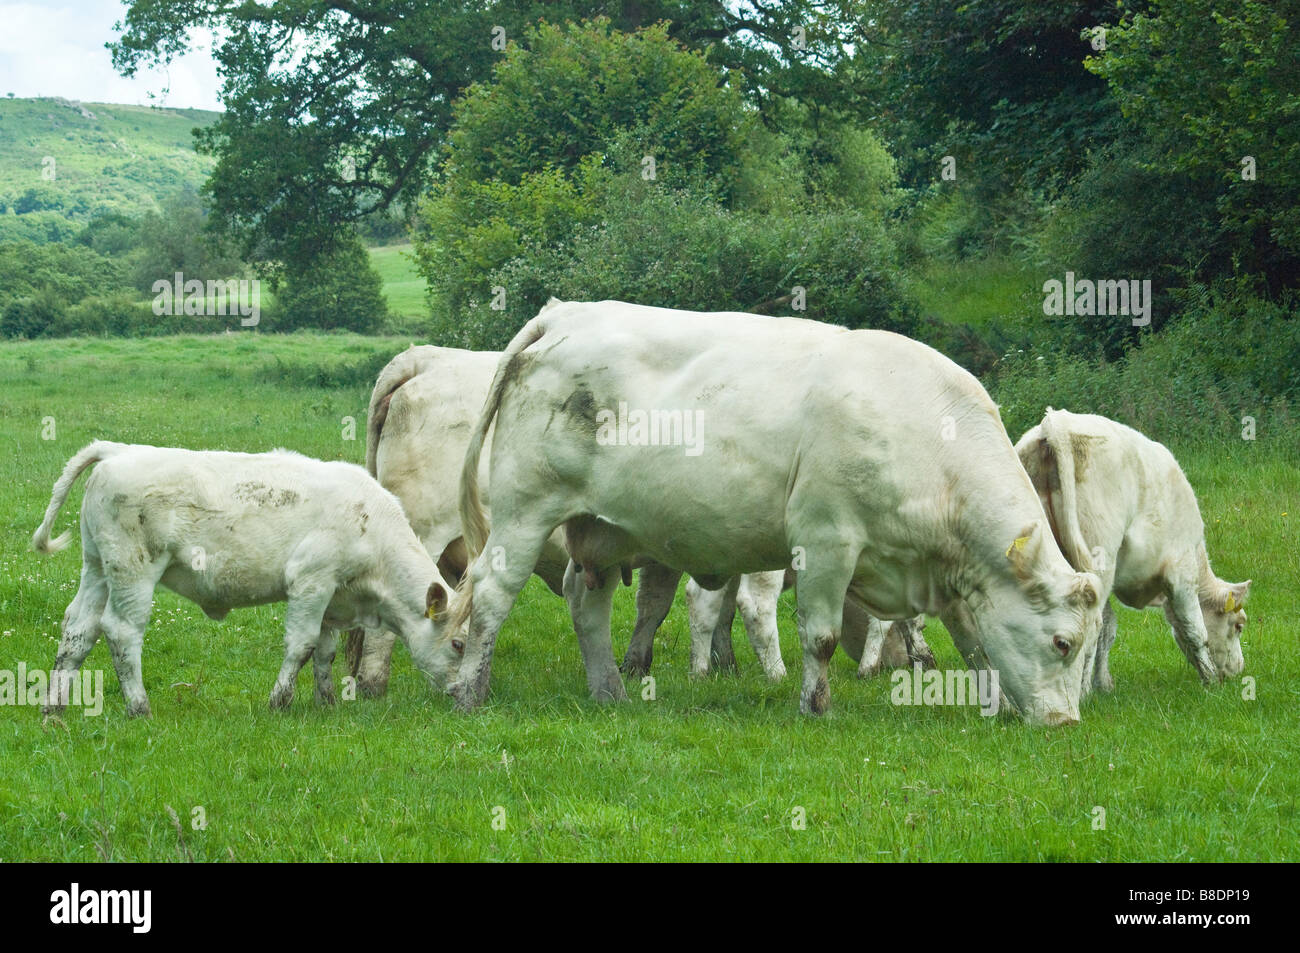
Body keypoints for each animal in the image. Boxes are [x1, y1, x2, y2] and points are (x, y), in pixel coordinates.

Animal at [31, 441, 462, 717]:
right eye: (459, 643)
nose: (469, 698)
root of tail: (119, 450)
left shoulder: (330, 597)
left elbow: (325, 651)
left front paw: (326, 702)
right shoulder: (311, 581)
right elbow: (302, 646)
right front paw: (279, 702)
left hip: (98, 568)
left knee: (78, 629)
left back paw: (55, 707)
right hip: (133, 571)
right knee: (121, 631)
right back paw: (139, 707)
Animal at [447, 299, 1106, 724]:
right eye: (1063, 643)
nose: (1067, 723)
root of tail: (564, 312)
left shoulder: (947, 571)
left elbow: (974, 641)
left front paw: (993, 702)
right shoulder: (827, 538)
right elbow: (820, 636)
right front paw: (816, 707)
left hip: (601, 531)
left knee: (588, 606)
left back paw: (610, 691)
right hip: (525, 510)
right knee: (491, 593)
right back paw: (469, 693)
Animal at [1015, 408, 1248, 691]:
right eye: (1238, 625)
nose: (1238, 670)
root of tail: (1054, 423)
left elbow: (1109, 628)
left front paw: (1103, 684)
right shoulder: (1181, 573)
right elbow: (1196, 630)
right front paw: (1211, 681)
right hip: (1099, 555)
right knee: (1090, 625)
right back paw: (1081, 692)